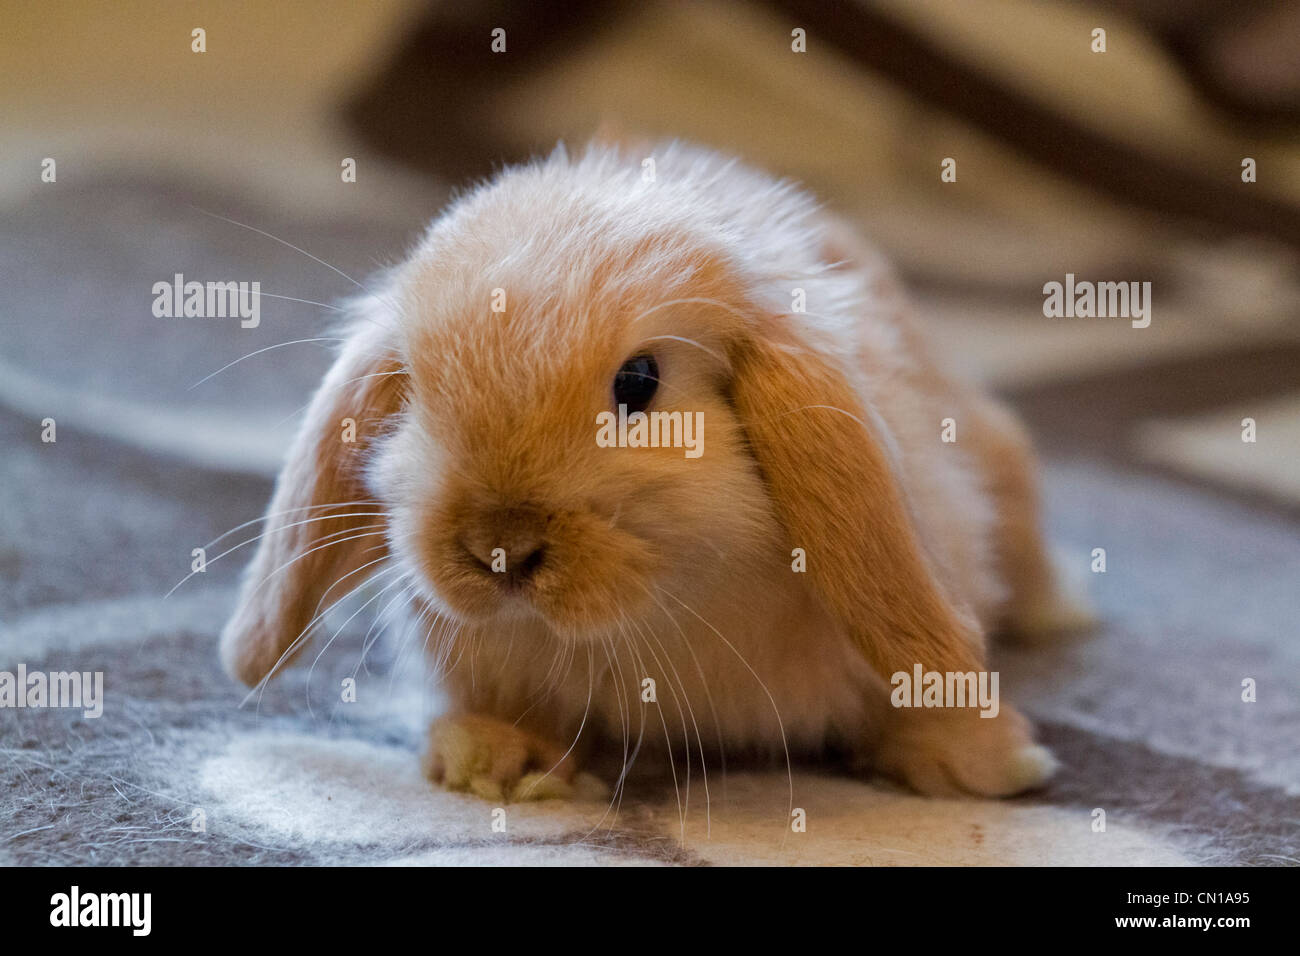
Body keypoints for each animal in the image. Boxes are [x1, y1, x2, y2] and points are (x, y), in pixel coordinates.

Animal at [219, 141, 1090, 804]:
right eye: (419, 395)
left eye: (639, 382)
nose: (501, 546)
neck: (663, 613)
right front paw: (497, 764)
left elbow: (923, 671)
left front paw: (989, 765)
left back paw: (1059, 617)